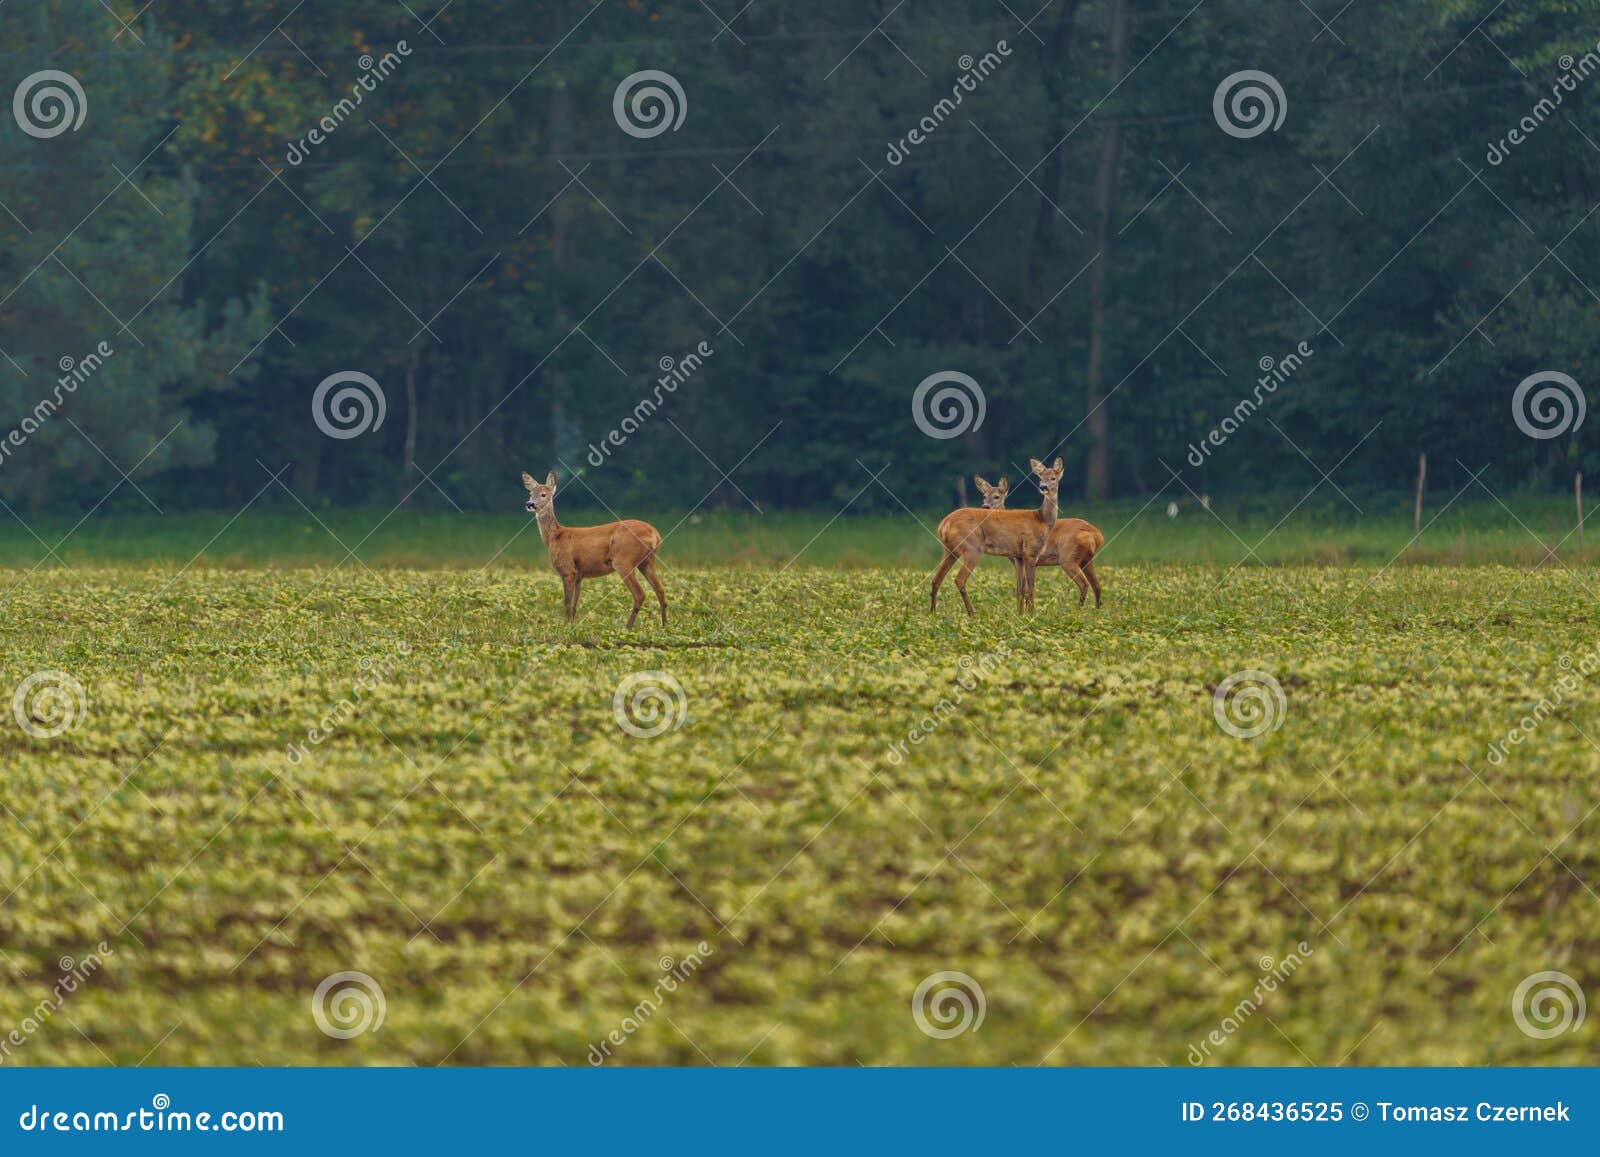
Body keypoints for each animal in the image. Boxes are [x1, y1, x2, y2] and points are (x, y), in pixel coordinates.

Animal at [521, 470, 667, 627]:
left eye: (543, 494)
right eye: (530, 493)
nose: (529, 504)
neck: (554, 537)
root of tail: (655, 534)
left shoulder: (567, 570)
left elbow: (567, 604)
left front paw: (564, 627)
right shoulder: (579, 575)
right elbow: (574, 605)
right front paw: (572, 627)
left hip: (624, 560)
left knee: (640, 593)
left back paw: (627, 628)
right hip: (647, 561)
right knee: (660, 590)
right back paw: (664, 626)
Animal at [931, 458, 1062, 615]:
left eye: (1053, 478)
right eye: (1041, 478)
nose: (1043, 487)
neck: (1042, 520)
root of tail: (944, 524)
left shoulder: (1018, 557)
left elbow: (1020, 589)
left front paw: (1020, 614)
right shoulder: (1030, 552)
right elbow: (1030, 589)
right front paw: (1031, 615)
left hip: (949, 550)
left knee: (936, 579)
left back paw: (932, 613)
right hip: (972, 548)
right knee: (959, 579)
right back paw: (971, 613)